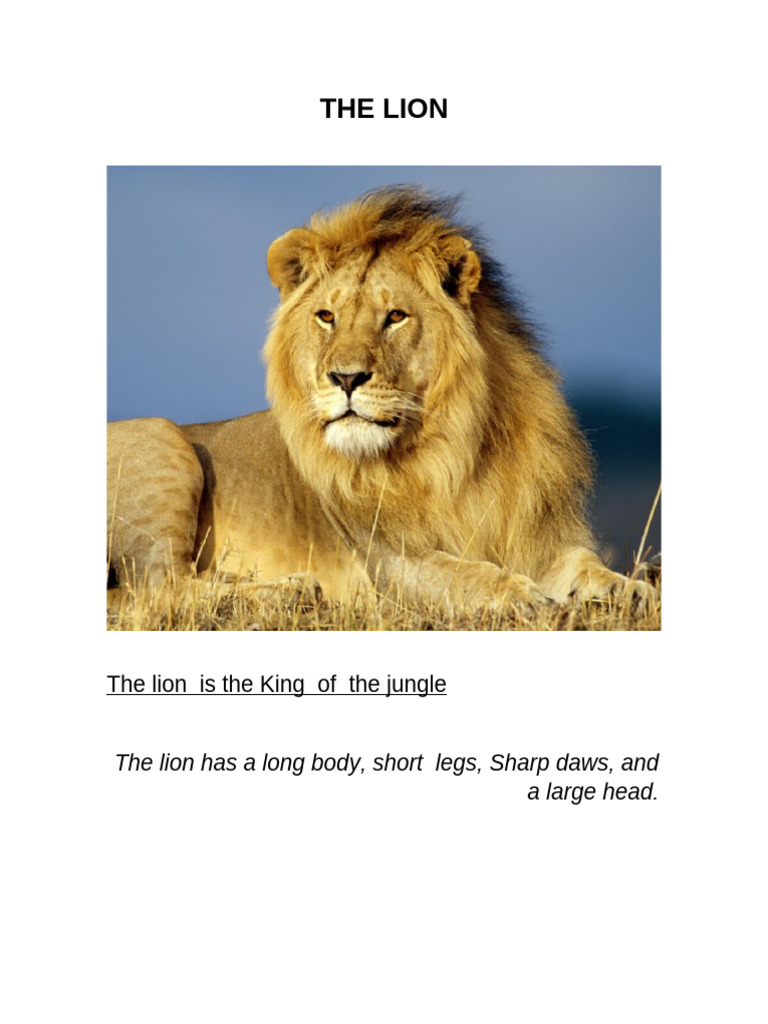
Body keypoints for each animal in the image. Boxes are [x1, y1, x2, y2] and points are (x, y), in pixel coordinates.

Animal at [107, 186, 654, 616]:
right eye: (326, 316)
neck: (454, 449)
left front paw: (629, 590)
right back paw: (289, 591)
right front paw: (519, 594)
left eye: (395, 316)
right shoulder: (391, 563)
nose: (345, 377)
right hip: (160, 436)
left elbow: (585, 564)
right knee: (154, 590)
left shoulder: (537, 536)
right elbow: (466, 574)